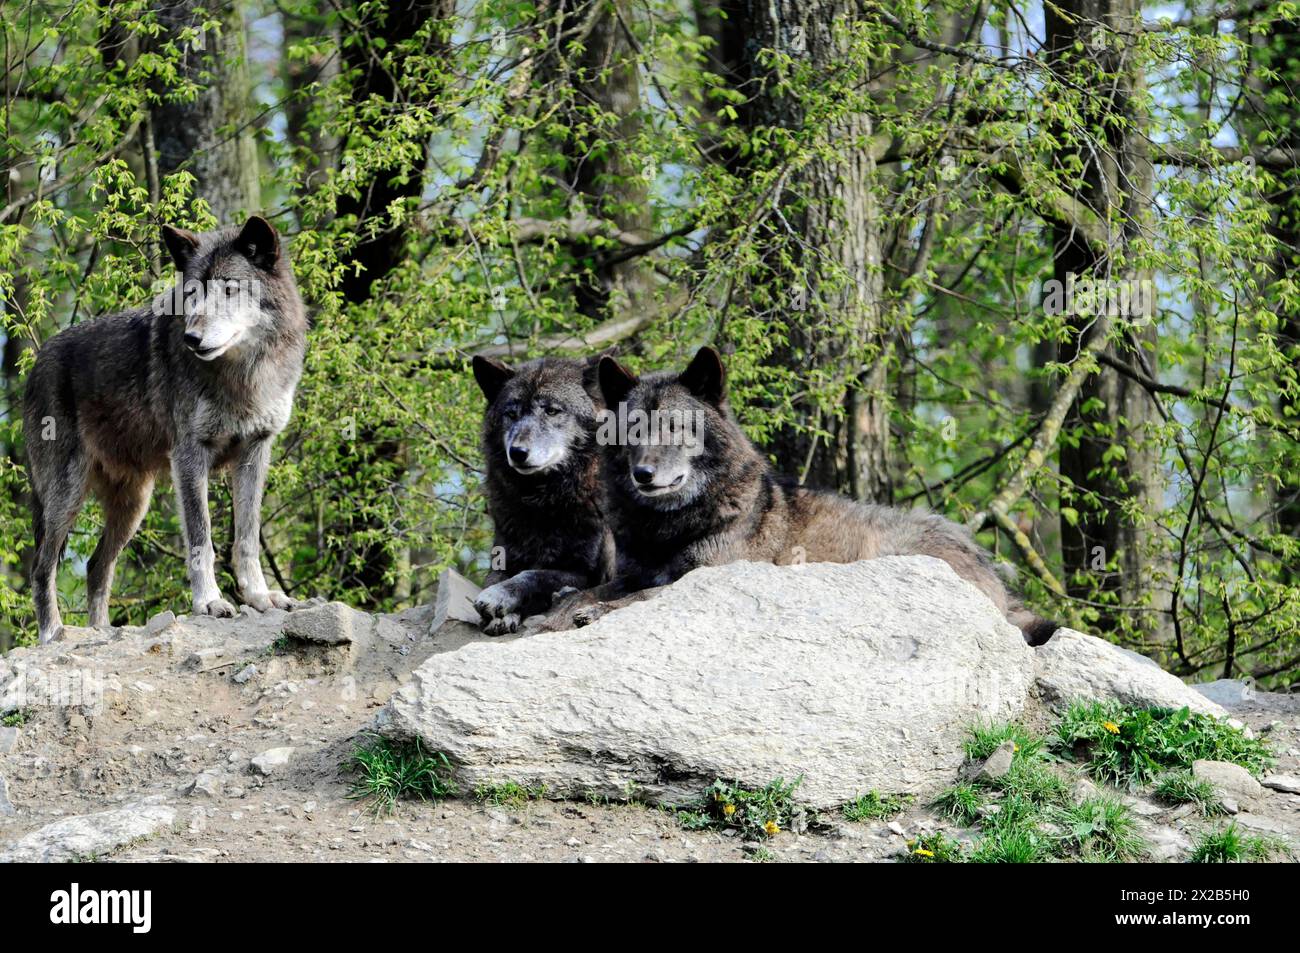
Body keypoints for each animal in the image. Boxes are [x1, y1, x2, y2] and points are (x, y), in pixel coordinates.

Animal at [24, 216, 306, 643]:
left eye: (229, 289)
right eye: (192, 293)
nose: (192, 338)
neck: (243, 376)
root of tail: (36, 363)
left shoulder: (255, 453)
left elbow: (247, 538)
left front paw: (260, 597)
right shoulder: (190, 455)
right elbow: (201, 537)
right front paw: (209, 602)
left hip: (133, 505)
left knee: (96, 565)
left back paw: (102, 631)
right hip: (67, 495)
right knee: (42, 565)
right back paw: (53, 633)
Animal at [469, 354, 613, 635]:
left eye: (552, 411)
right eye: (511, 414)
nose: (517, 452)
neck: (543, 504)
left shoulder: (585, 571)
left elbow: (535, 575)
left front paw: (500, 596)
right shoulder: (503, 556)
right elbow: (495, 577)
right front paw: (501, 613)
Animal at [548, 346, 1058, 645]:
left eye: (675, 426)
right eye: (633, 429)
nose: (644, 474)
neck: (671, 526)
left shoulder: (703, 577)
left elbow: (638, 599)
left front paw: (592, 612)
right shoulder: (634, 570)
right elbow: (589, 591)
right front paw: (561, 608)